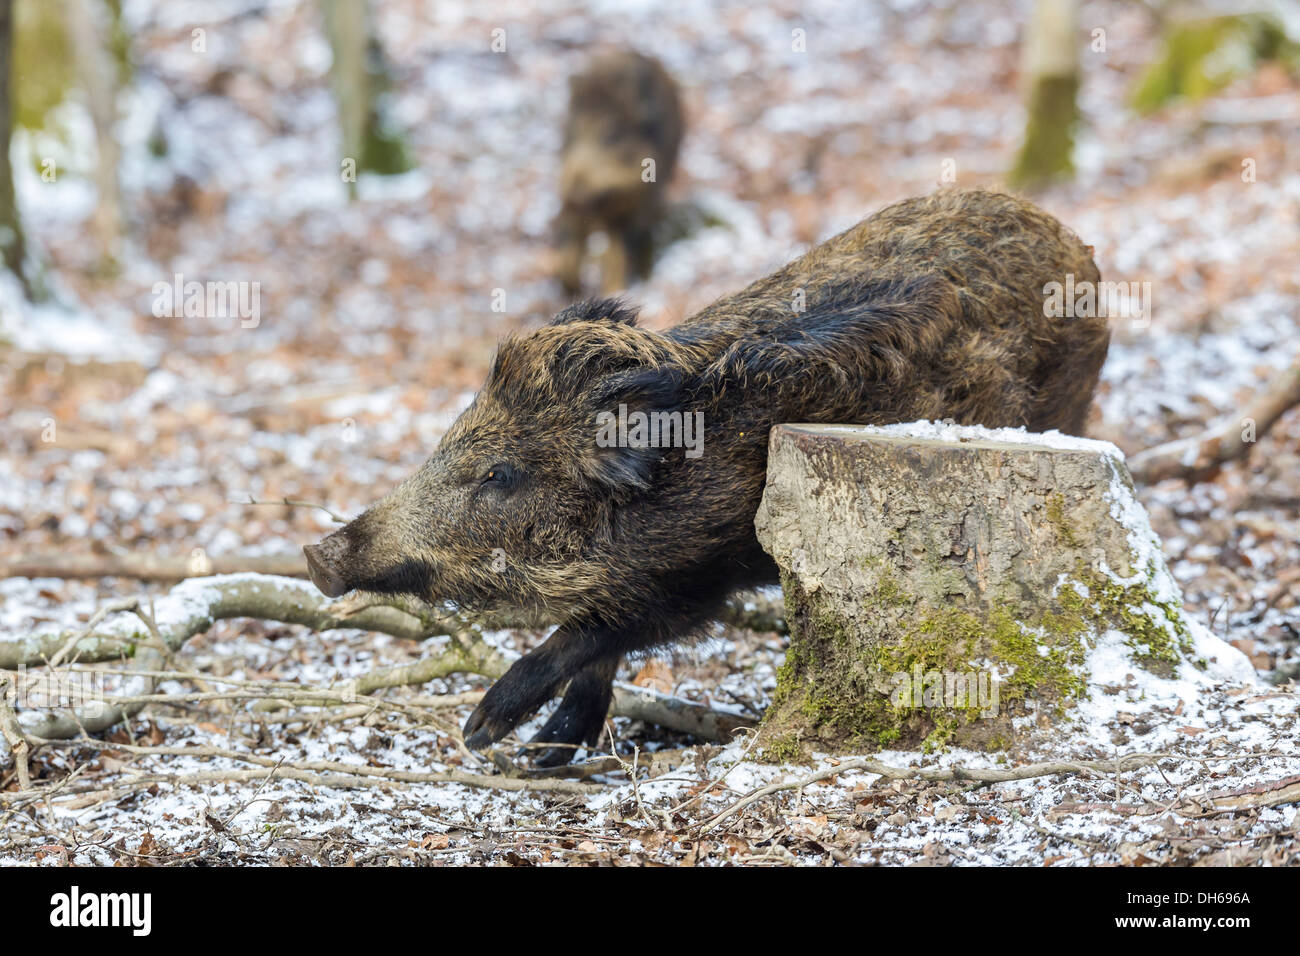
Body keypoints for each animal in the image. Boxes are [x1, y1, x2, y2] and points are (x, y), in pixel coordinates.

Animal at [304, 188, 1110, 765]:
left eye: (500, 474)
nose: (317, 555)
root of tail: (1070, 241)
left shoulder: (698, 573)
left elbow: (591, 633)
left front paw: (485, 733)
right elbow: (598, 644)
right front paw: (545, 756)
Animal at [552, 49, 683, 296]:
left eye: (612, 136)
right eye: (572, 133)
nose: (572, 197)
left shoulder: (636, 210)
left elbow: (617, 253)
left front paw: (614, 291)